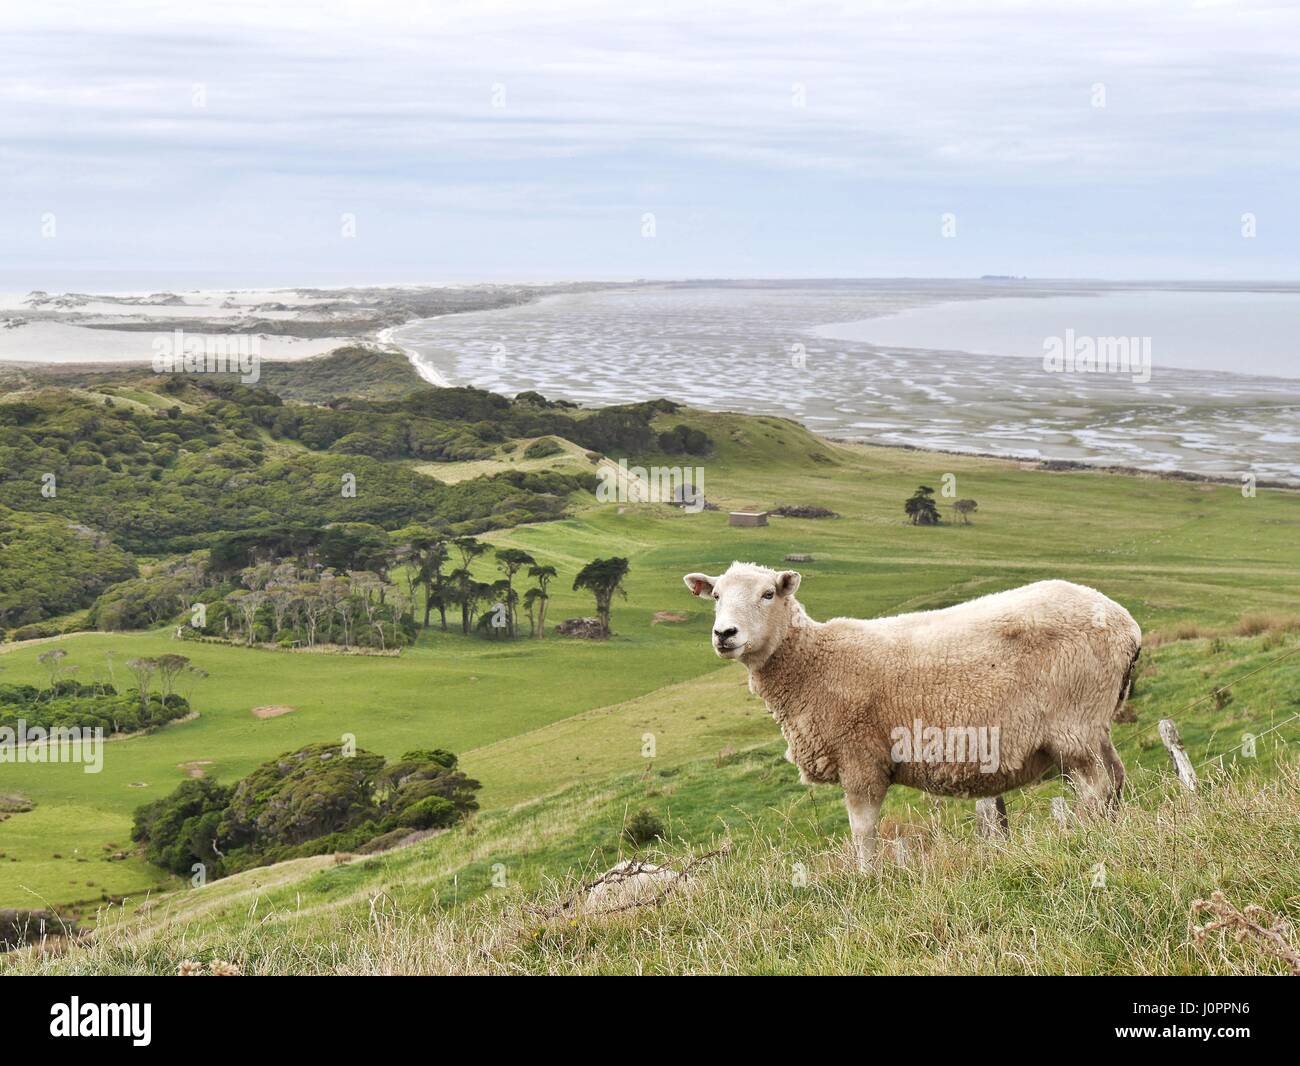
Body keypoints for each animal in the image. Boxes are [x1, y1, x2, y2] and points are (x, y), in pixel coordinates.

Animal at [683, 562, 1140, 867]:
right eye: (717, 596)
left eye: (768, 594)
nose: (724, 634)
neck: (814, 661)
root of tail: (1127, 624)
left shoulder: (860, 757)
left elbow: (863, 830)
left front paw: (866, 879)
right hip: (1094, 723)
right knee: (1115, 778)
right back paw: (1112, 832)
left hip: (1074, 722)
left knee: (1096, 787)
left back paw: (1088, 839)